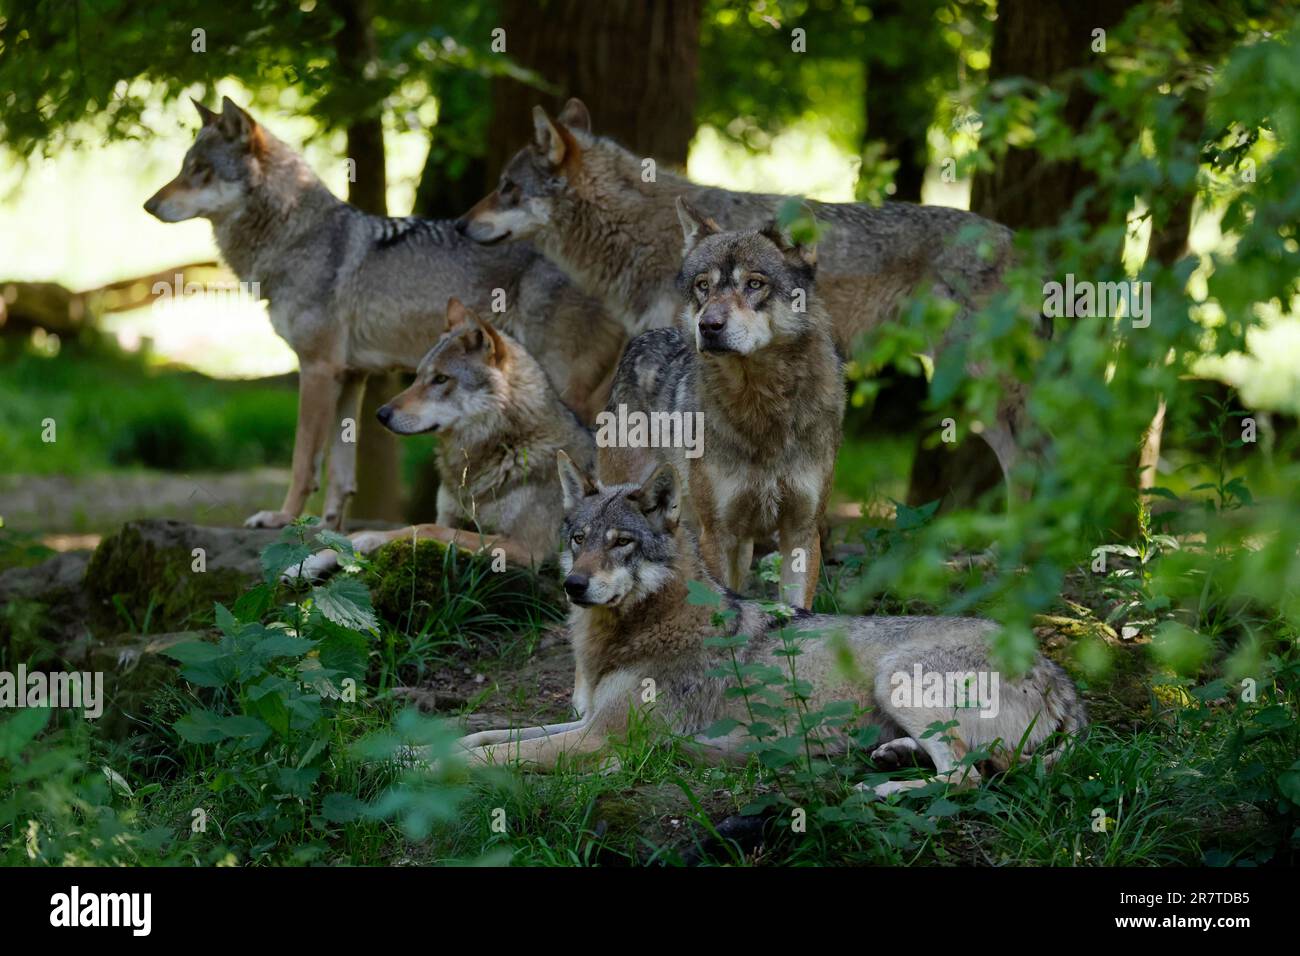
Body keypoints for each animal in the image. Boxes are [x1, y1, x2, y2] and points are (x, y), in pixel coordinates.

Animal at [144, 96, 623, 530]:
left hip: (564, 385)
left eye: (199, 170)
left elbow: (302, 461)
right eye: (184, 167)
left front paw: (282, 518)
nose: (149, 205)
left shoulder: (317, 369)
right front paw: (328, 531)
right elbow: (340, 473)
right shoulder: (350, 375)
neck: (297, 236)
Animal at [292, 299, 596, 579]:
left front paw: (368, 539)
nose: (381, 414)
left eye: (440, 379)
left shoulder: (525, 548)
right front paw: (306, 564)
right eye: (417, 377)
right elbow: (353, 538)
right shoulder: (452, 518)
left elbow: (420, 528)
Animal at [450, 455, 1087, 796]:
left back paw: (879, 787)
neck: (625, 635)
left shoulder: (601, 737)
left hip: (895, 676)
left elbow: (496, 756)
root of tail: (1056, 672)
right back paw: (889, 755)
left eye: (621, 542)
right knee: (960, 762)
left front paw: (433, 768)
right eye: (578, 539)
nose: (574, 587)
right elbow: (491, 736)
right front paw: (432, 743)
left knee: (965, 778)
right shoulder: (583, 721)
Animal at [598, 207, 844, 608]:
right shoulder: (717, 533)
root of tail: (642, 339)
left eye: (755, 284)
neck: (762, 406)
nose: (709, 325)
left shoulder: (801, 532)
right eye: (703, 286)